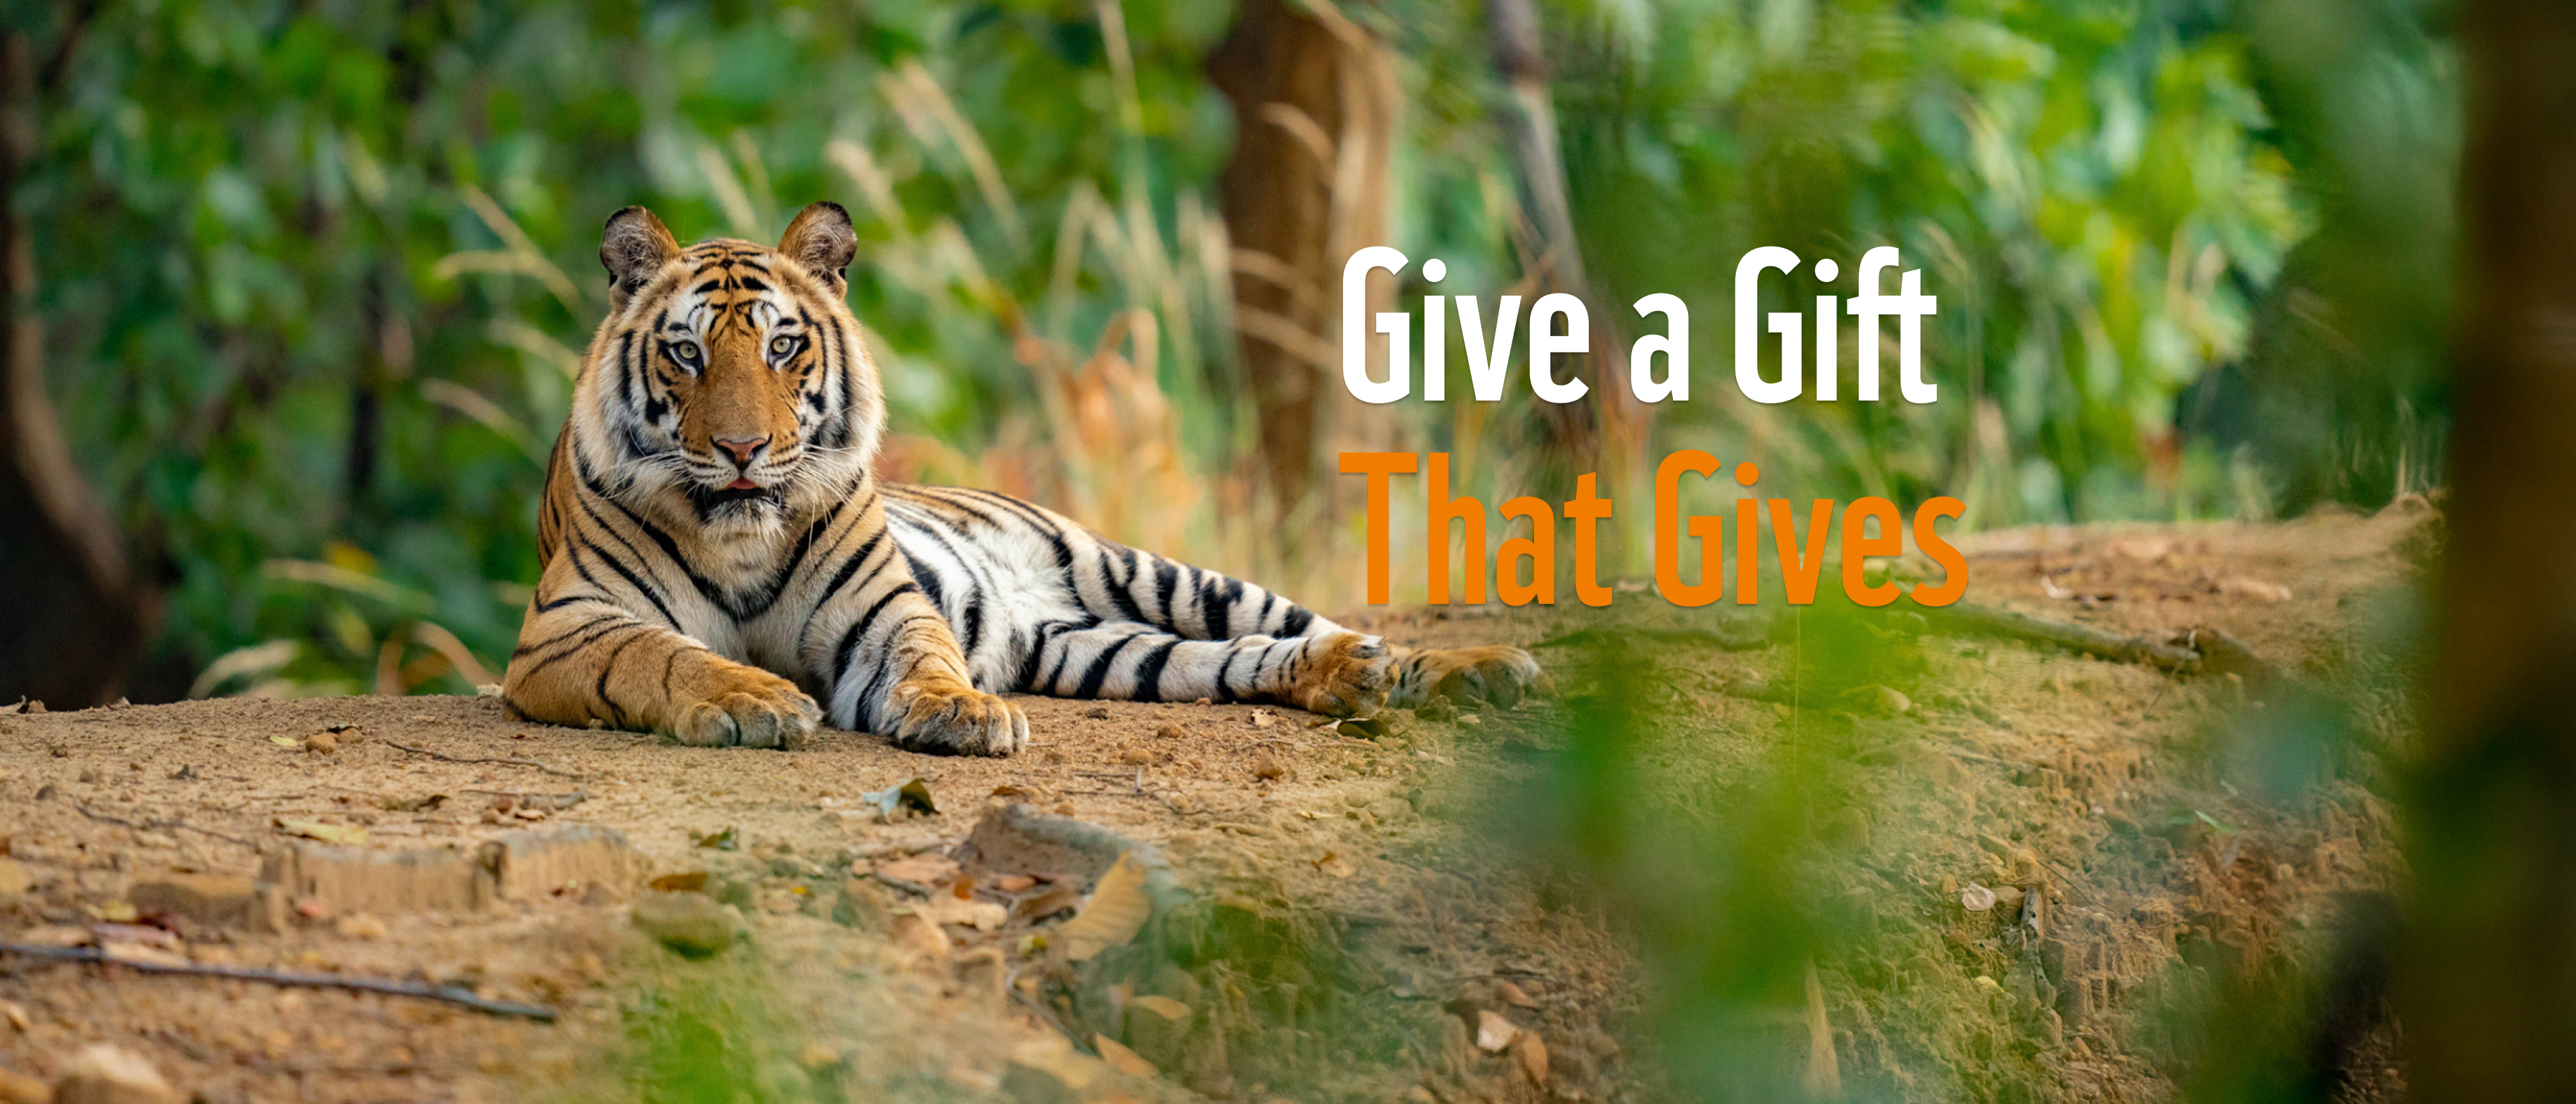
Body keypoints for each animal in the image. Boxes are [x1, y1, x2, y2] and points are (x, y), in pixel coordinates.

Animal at [500, 202, 1540, 755]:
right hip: (1102, 650)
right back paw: (1353, 680)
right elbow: (665, 655)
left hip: (1154, 573)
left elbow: (922, 656)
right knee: (1238, 660)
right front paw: (750, 699)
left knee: (1307, 622)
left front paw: (962, 711)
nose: (744, 450)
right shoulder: (568, 627)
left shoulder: (883, 612)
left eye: (783, 347)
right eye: (686, 353)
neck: (742, 538)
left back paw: (1463, 668)